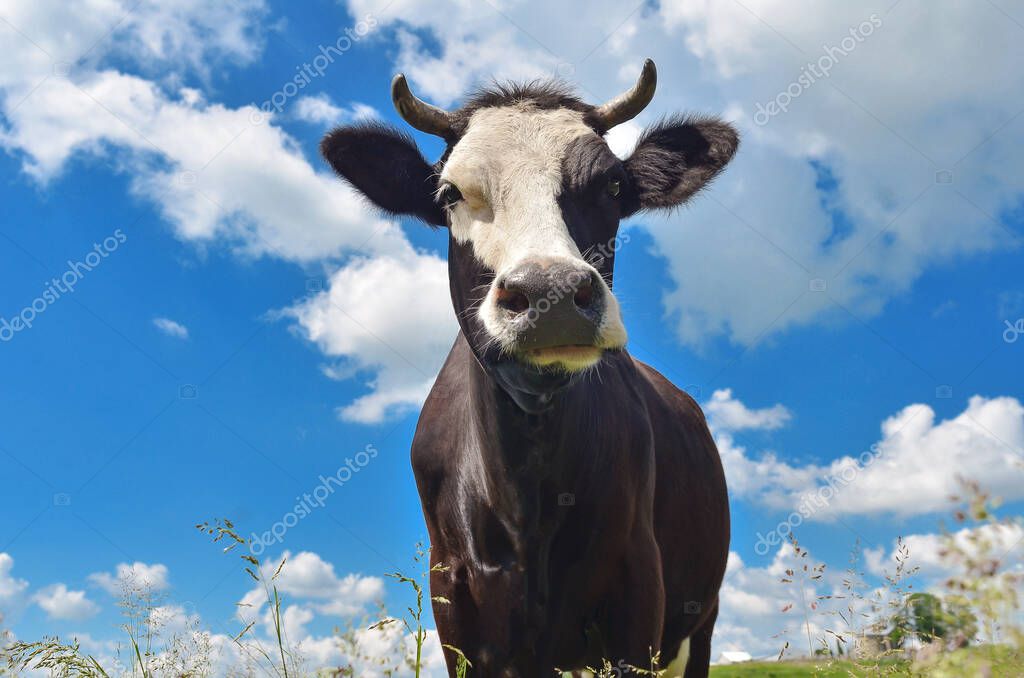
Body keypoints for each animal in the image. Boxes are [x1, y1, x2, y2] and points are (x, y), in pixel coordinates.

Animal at [321, 59, 737, 677]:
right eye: (449, 192)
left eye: (612, 185)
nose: (551, 292)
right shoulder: (456, 603)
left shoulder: (639, 589)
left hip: (699, 620)